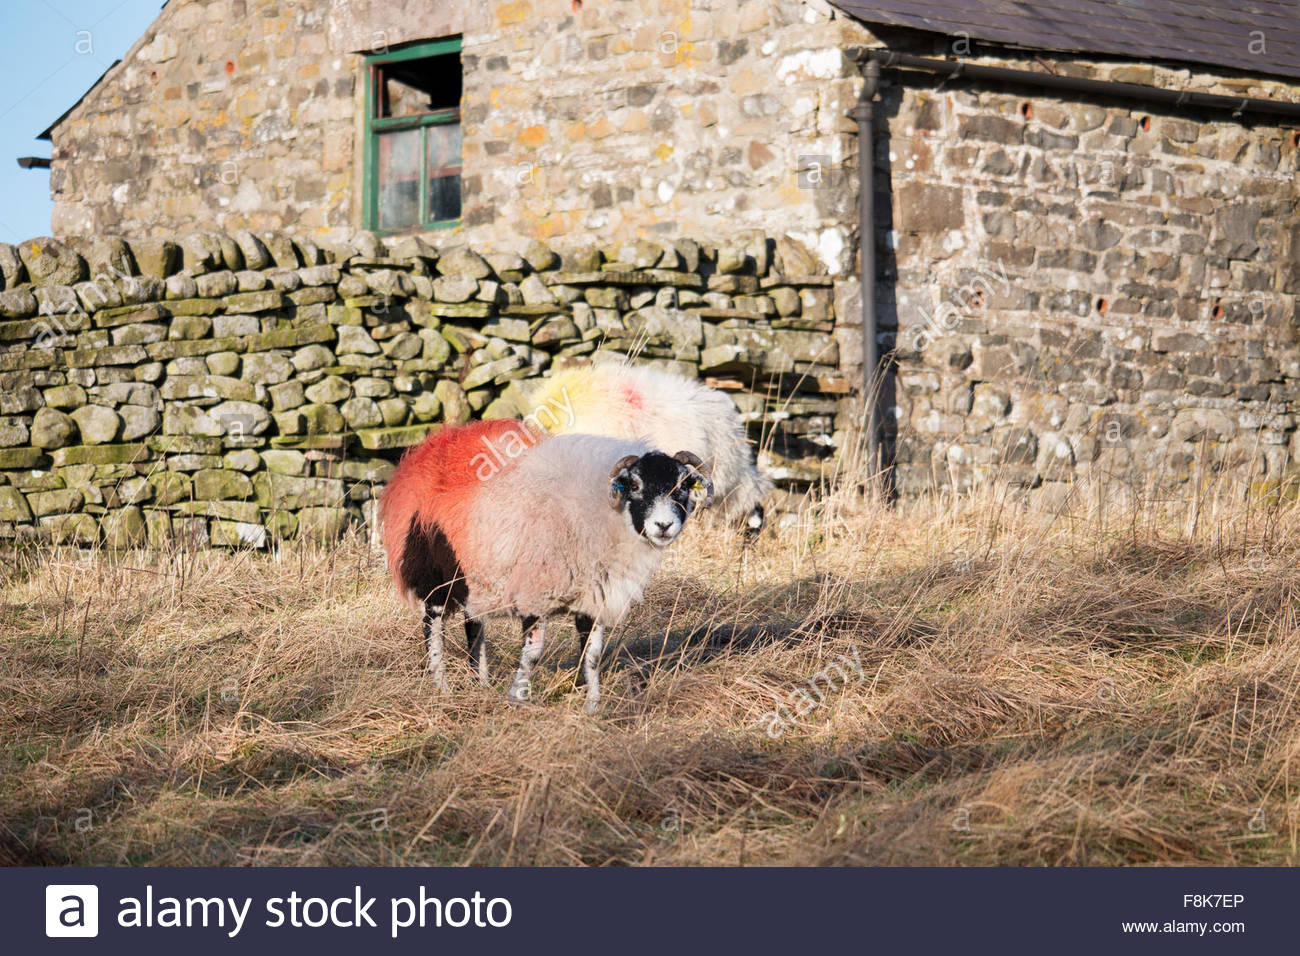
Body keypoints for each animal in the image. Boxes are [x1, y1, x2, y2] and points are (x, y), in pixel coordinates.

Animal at [379, 419, 713, 712]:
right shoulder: (534, 592)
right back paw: (442, 688)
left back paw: (481, 684)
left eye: (684, 486)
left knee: (474, 629)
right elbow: (532, 654)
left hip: (475, 577)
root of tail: (424, 451)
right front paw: (517, 698)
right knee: (432, 629)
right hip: (433, 578)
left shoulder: (592, 598)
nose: (663, 525)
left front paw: (592, 708)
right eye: (634, 485)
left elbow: (592, 656)